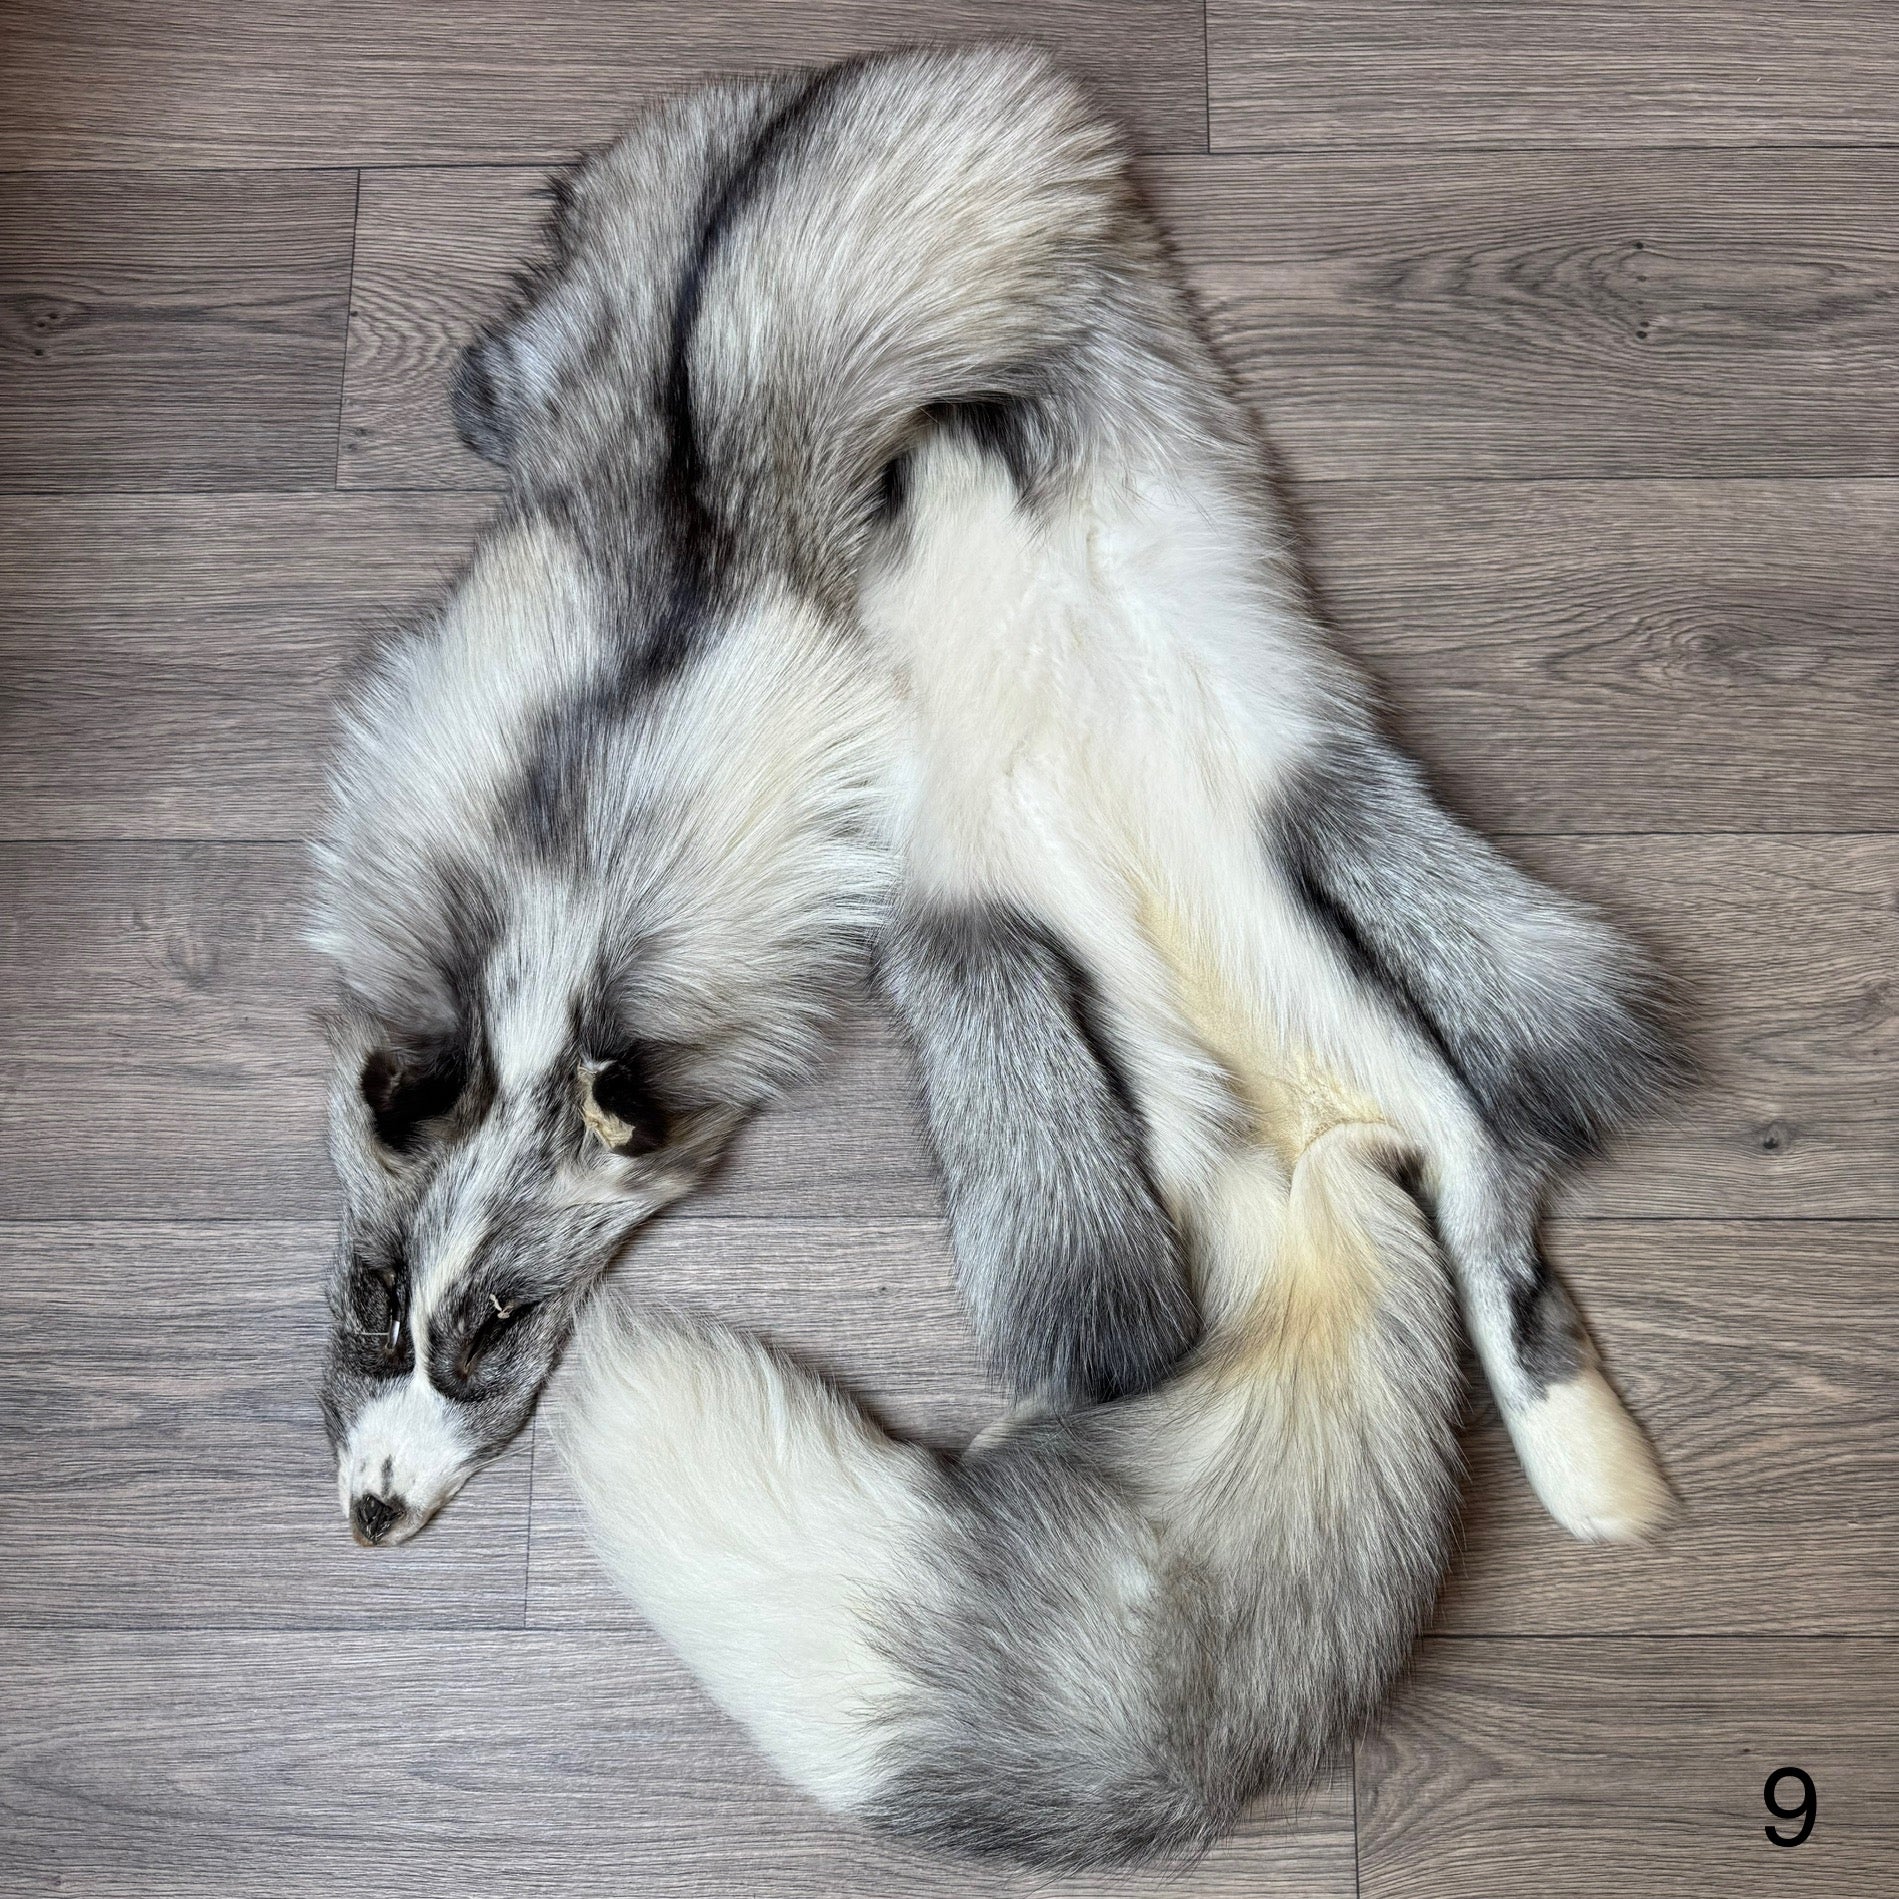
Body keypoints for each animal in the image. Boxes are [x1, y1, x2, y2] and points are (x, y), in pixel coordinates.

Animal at [312, 43, 1679, 1867]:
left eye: (500, 1319)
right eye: (370, 1295)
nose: (371, 1515)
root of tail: (1295, 1139)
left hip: (1275, 857)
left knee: (1484, 1166)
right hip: (1056, 983)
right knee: (1443, 1204)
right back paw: (1567, 1440)